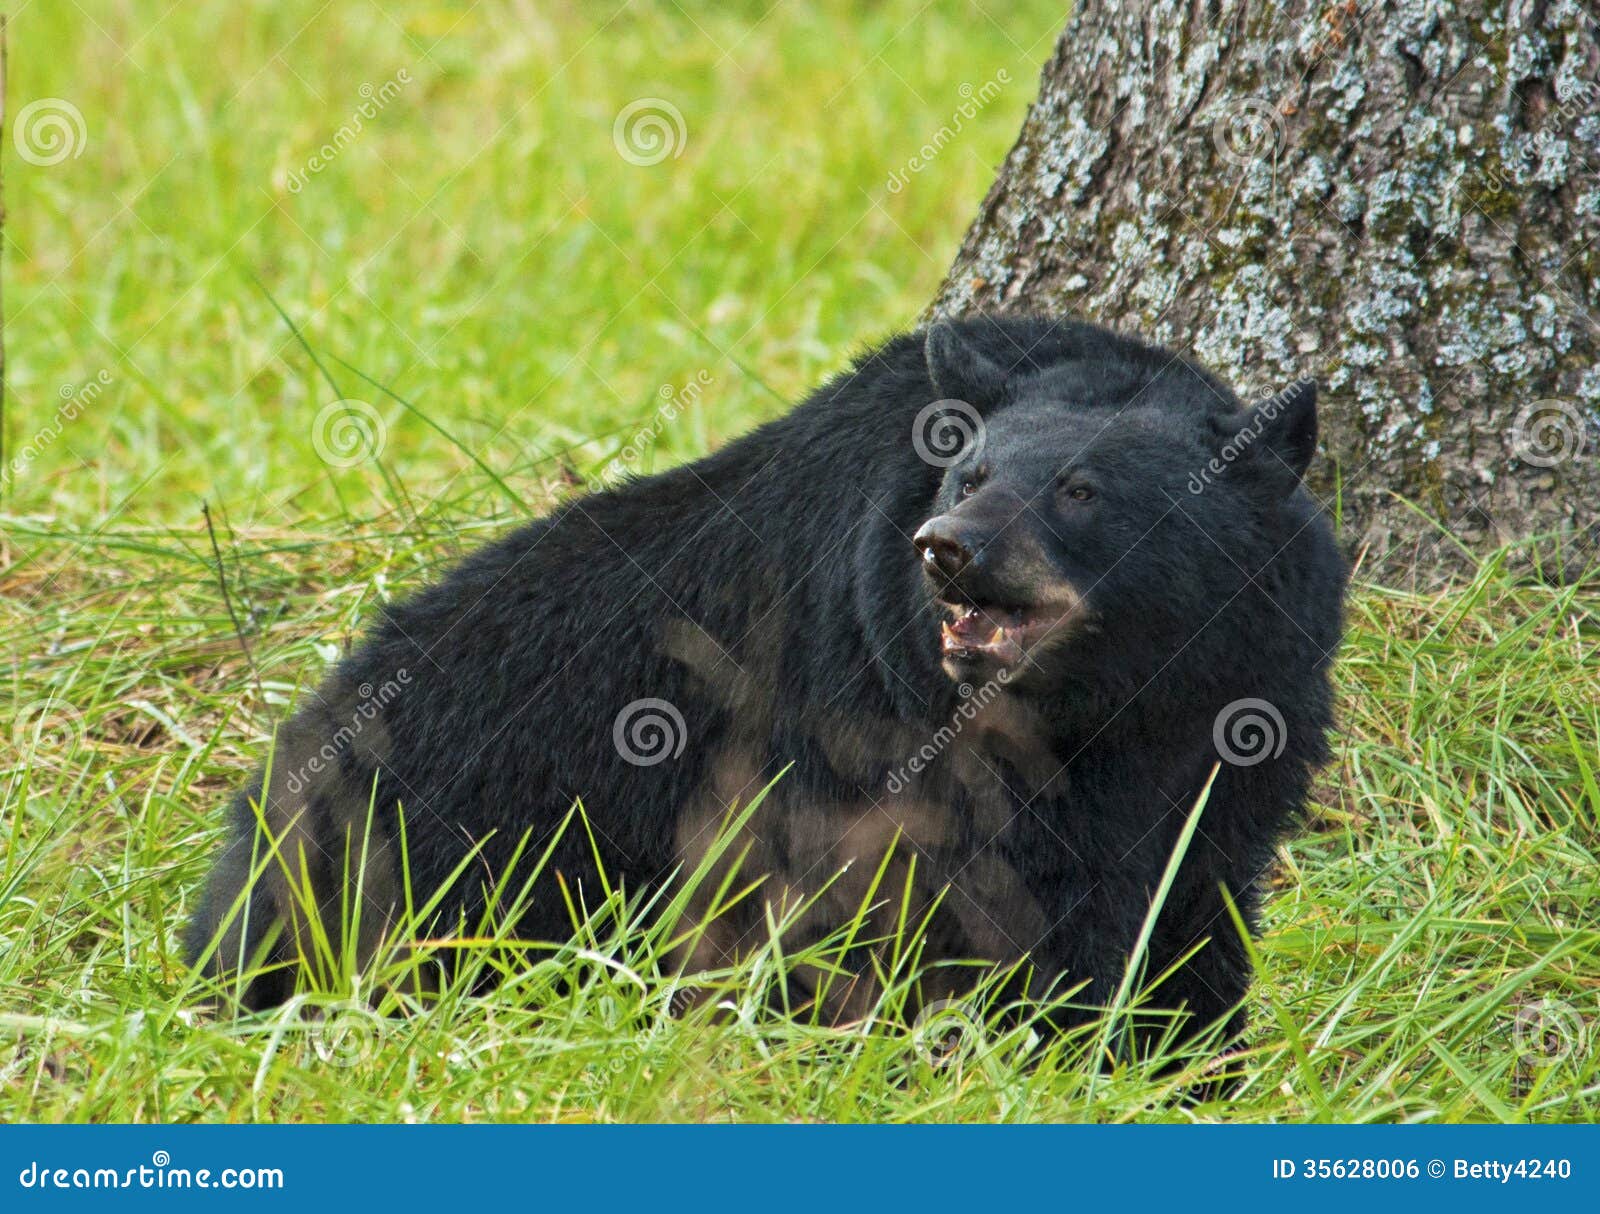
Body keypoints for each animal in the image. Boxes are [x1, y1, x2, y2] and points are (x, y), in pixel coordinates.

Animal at [186, 314, 1346, 1050]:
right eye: (967, 474)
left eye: (1080, 489)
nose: (949, 548)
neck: (1103, 706)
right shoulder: (865, 711)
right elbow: (914, 910)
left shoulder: (1245, 716)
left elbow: (1191, 902)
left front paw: (1183, 1056)